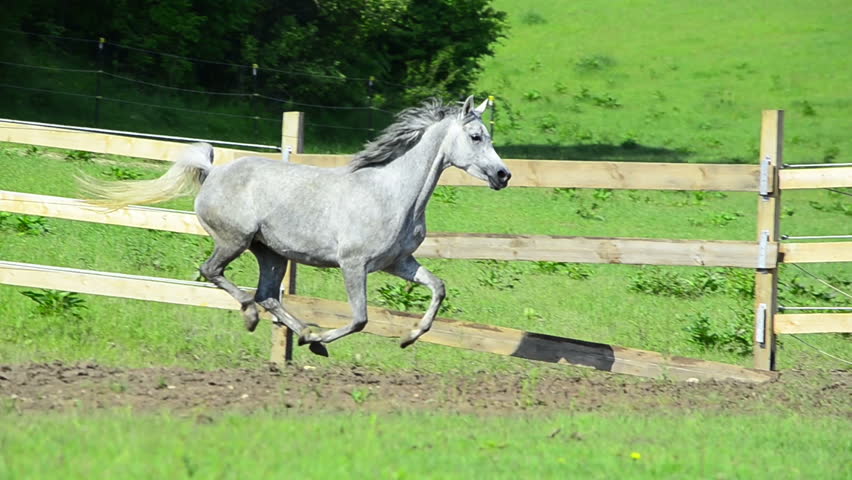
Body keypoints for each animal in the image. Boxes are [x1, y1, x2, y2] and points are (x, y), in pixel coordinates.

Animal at [81, 96, 511, 356]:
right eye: (476, 136)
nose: (503, 175)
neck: (391, 193)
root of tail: (213, 171)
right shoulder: (354, 265)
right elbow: (360, 319)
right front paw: (324, 337)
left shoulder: (397, 263)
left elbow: (438, 288)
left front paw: (408, 338)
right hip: (235, 240)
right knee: (213, 273)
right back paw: (262, 320)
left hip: (270, 252)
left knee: (268, 294)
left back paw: (303, 333)